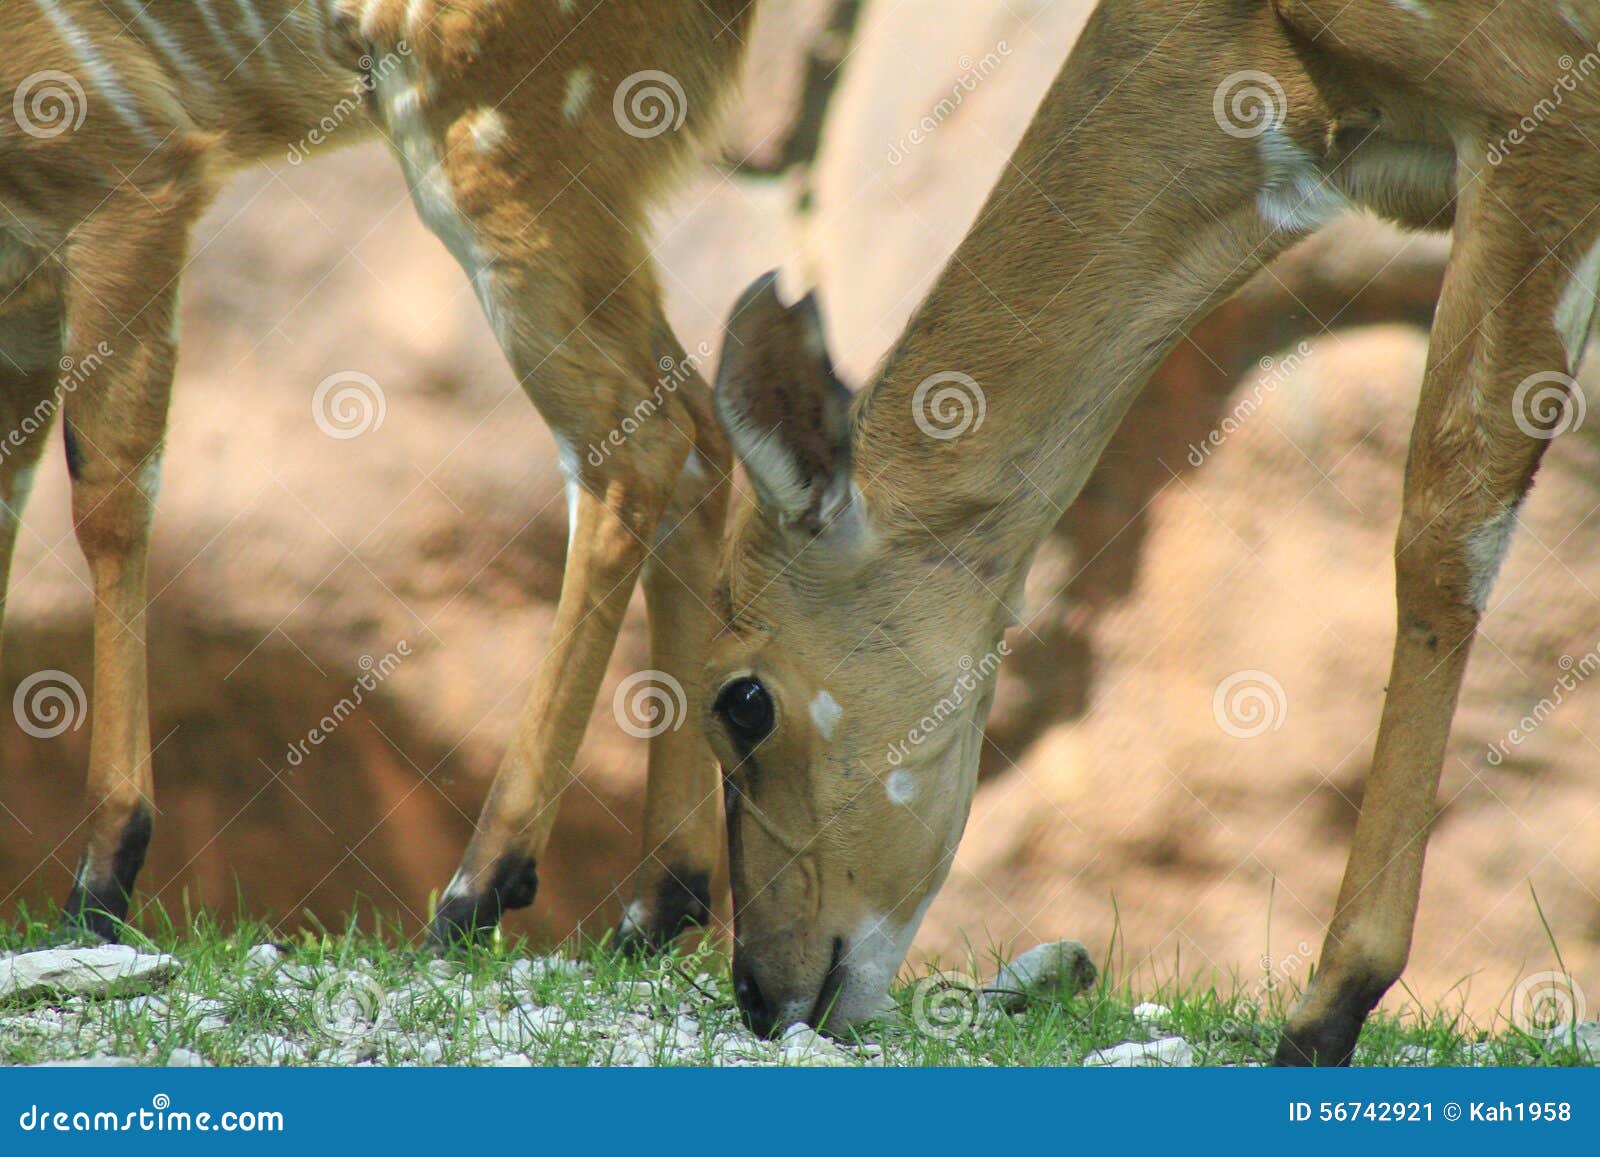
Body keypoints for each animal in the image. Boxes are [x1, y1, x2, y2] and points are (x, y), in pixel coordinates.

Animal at [0, 1, 748, 949]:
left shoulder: (128, 171)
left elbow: (108, 493)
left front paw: (101, 881)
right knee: (699, 440)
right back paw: (653, 904)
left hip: (496, 147)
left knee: (636, 445)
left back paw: (474, 891)